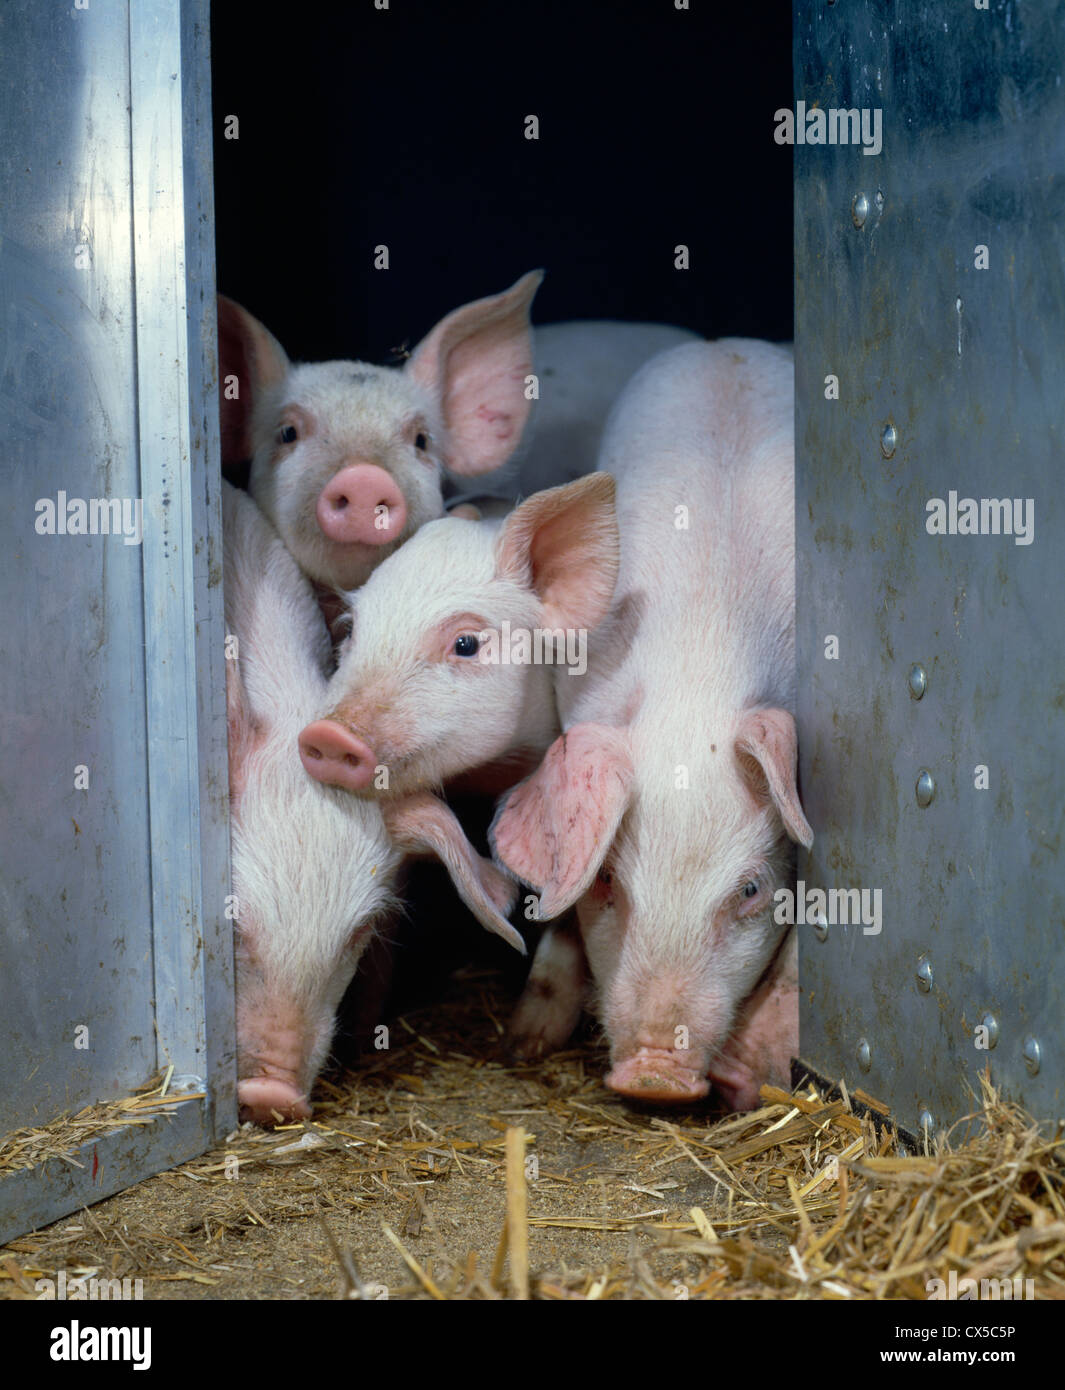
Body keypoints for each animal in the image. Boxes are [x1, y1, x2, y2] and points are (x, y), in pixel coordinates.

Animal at [489, 340, 813, 1112]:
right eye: (609, 879)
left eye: (749, 890)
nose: (656, 1076)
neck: (694, 682)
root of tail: (722, 344)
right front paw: (523, 1044)